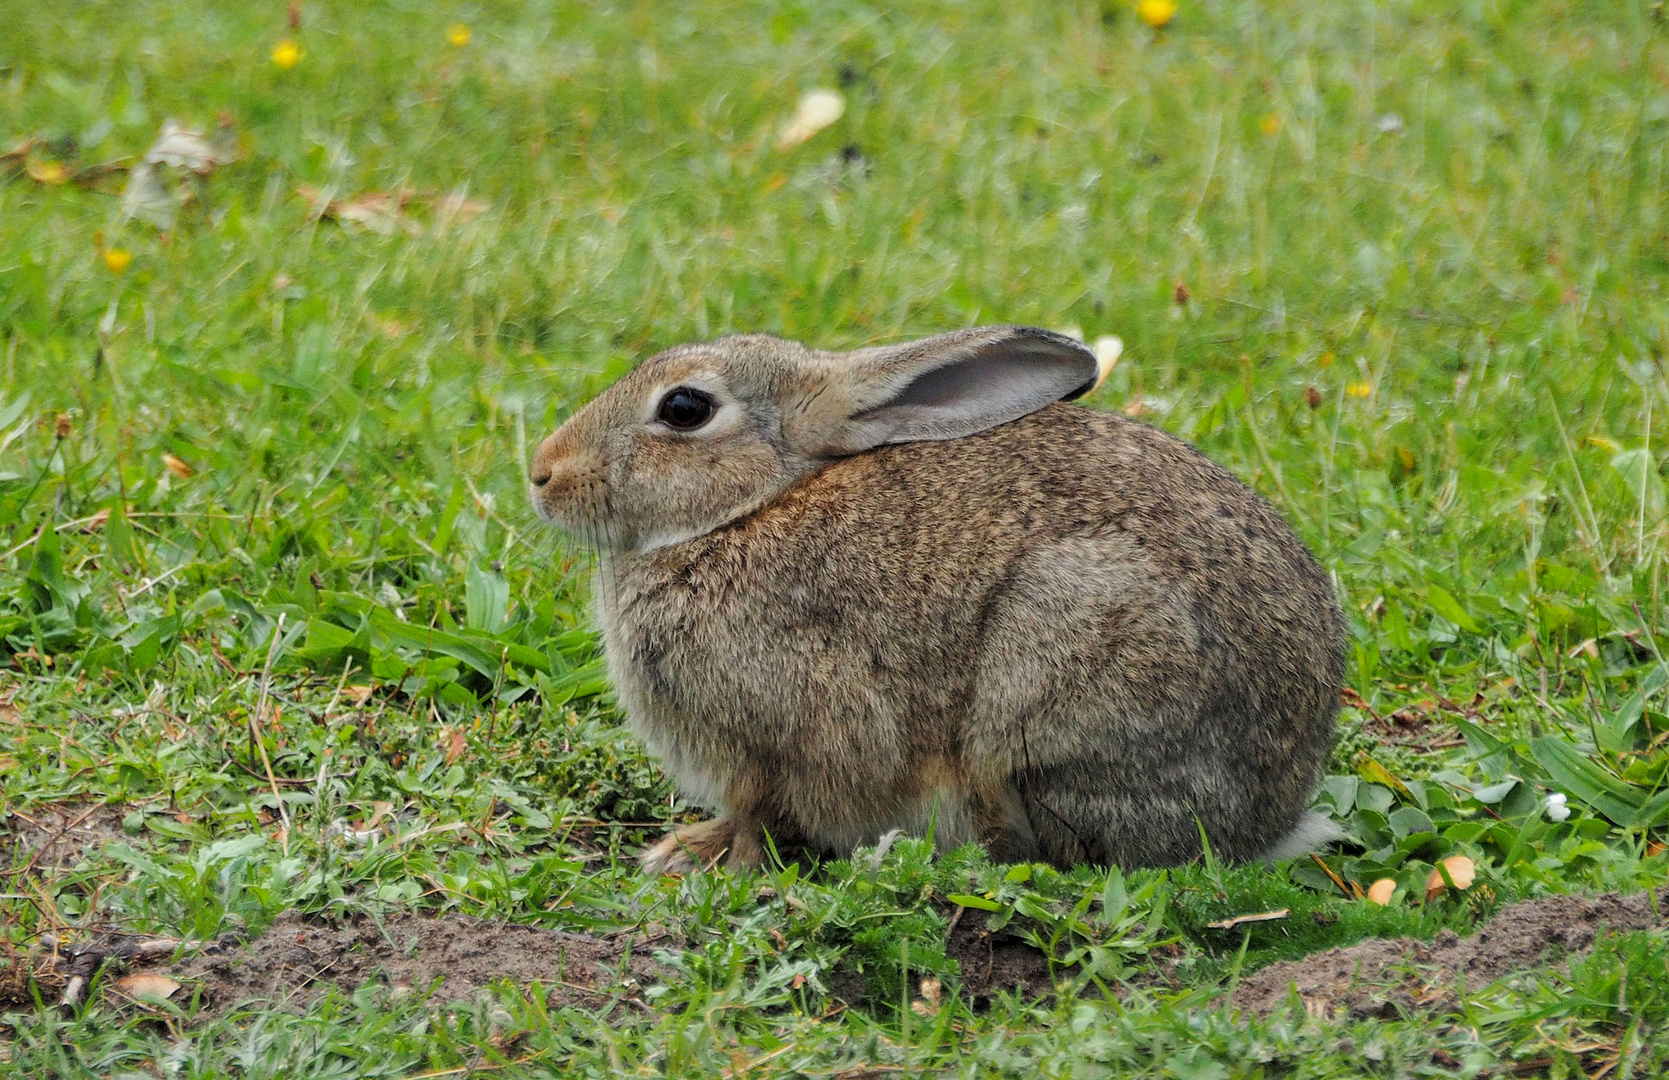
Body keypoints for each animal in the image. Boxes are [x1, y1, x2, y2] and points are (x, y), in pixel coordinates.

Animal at [528, 325, 1344, 874]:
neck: (749, 509)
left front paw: (704, 860)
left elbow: (762, 813)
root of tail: (1271, 817)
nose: (541, 473)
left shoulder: (789, 736)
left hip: (1059, 669)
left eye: (685, 409)